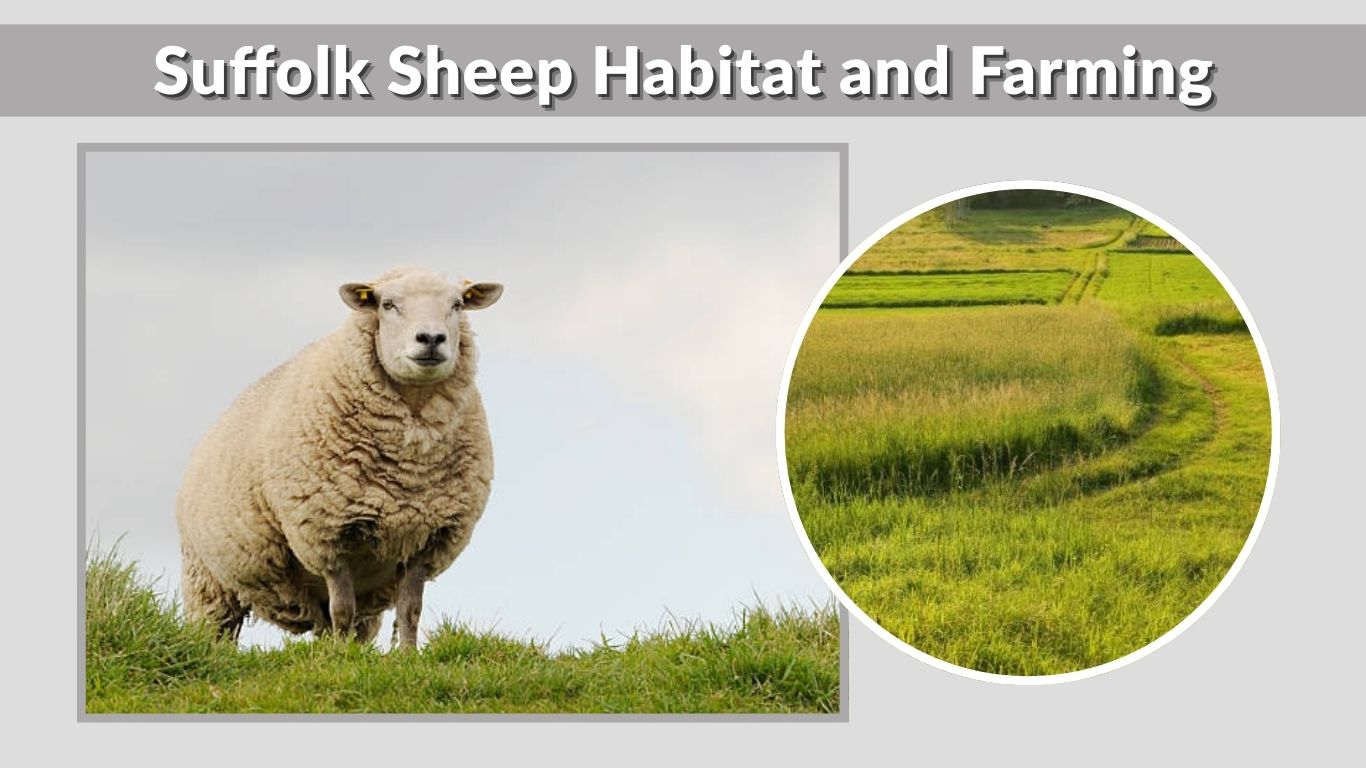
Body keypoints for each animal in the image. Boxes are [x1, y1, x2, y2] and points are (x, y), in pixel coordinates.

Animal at [174, 266, 503, 647]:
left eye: (457, 305)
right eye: (387, 304)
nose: (431, 338)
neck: (409, 467)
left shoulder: (427, 538)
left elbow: (410, 610)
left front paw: (407, 654)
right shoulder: (326, 535)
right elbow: (342, 608)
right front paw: (343, 656)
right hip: (208, 582)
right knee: (217, 632)